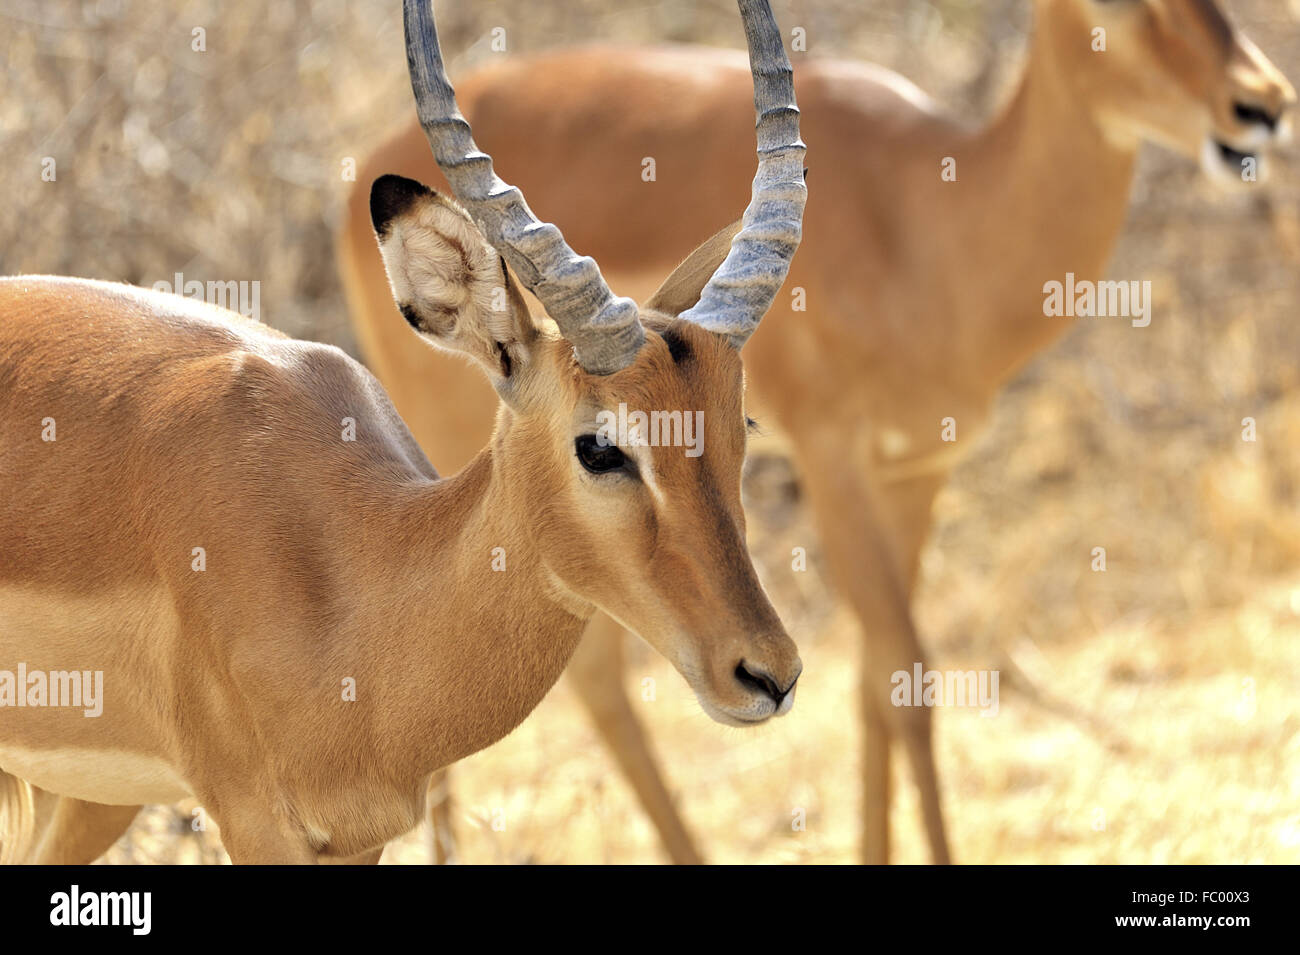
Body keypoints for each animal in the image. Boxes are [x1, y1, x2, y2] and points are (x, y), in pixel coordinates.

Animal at [0, 0, 807, 865]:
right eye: (599, 445)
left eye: (740, 423)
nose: (770, 673)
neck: (353, 574)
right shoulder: (253, 820)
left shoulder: (359, 835)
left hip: (85, 794)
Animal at [338, 0, 1295, 864]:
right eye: (602, 443)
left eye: (742, 427)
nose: (1260, 105)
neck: (933, 221)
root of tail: (362, 175)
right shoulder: (836, 461)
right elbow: (906, 674)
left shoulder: (918, 470)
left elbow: (884, 678)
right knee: (577, 677)